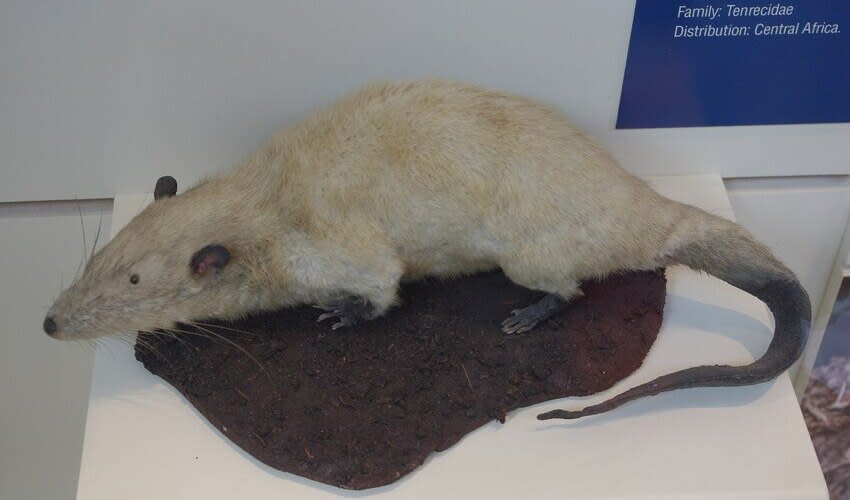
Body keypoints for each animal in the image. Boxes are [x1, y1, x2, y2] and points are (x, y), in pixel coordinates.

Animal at [45, 80, 810, 419]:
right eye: (99, 260)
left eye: (135, 280)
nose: (51, 323)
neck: (267, 202)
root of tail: (640, 206)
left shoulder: (338, 245)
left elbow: (383, 284)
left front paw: (341, 315)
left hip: (531, 252)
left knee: (570, 287)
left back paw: (529, 314)